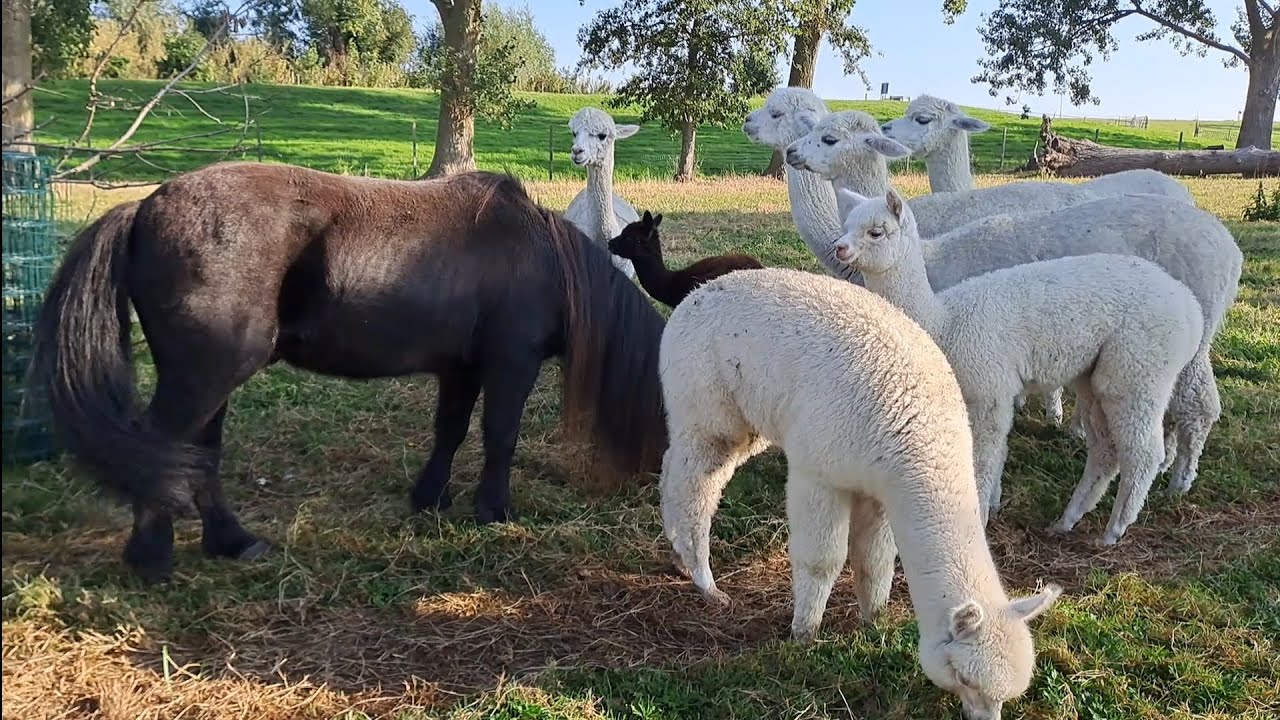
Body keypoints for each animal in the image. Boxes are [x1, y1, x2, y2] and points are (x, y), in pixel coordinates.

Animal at [29, 162, 669, 584]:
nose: (651, 488)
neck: (540, 259)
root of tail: (142, 208)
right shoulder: (511, 363)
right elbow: (499, 436)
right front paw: (493, 510)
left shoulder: (462, 369)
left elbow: (451, 431)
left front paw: (430, 498)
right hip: (203, 378)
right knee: (160, 447)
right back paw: (152, 558)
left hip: (211, 380)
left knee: (196, 452)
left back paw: (231, 542)